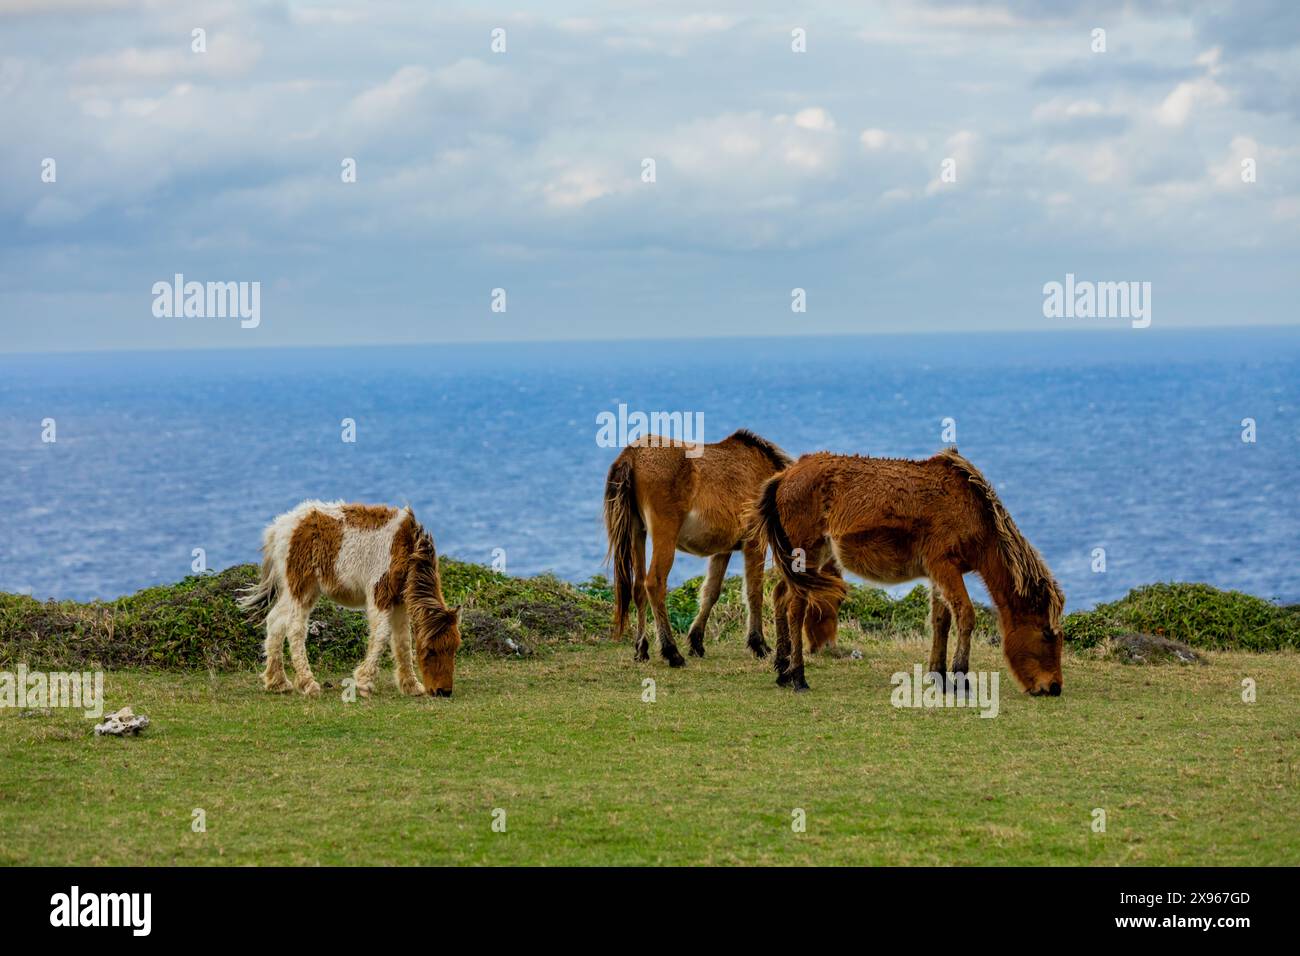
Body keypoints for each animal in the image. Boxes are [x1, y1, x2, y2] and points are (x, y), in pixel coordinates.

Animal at [238, 501, 462, 698]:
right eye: (431, 650)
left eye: (453, 648)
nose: (442, 691)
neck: (407, 547)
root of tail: (278, 529)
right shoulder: (379, 594)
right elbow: (381, 635)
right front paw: (363, 682)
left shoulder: (399, 601)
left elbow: (402, 641)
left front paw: (411, 686)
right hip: (301, 589)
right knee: (295, 630)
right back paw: (308, 684)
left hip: (298, 591)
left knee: (275, 622)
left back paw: (277, 683)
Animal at [603, 429, 794, 667]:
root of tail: (632, 455)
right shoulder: (755, 542)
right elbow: (754, 591)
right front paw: (759, 644)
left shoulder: (723, 550)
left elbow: (711, 592)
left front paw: (696, 641)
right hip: (664, 536)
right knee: (654, 584)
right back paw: (672, 652)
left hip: (637, 533)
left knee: (638, 587)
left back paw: (642, 650)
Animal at [748, 448, 1065, 695]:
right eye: (1046, 634)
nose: (1053, 687)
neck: (973, 511)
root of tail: (784, 476)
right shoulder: (945, 566)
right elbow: (965, 615)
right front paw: (961, 678)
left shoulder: (939, 572)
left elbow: (941, 621)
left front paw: (940, 678)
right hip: (806, 555)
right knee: (796, 608)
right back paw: (798, 678)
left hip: (804, 560)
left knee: (780, 596)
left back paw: (783, 671)